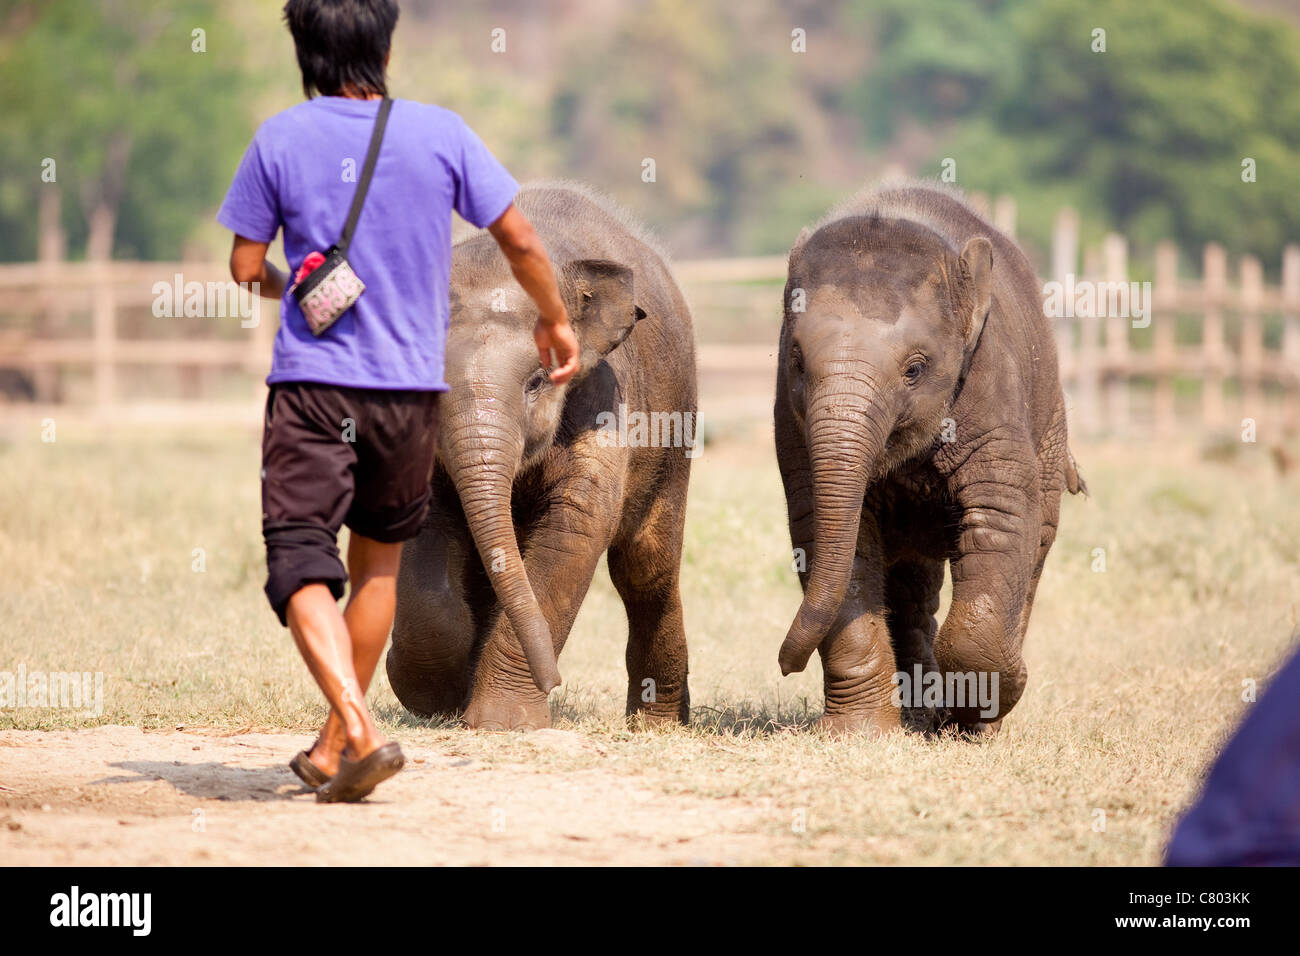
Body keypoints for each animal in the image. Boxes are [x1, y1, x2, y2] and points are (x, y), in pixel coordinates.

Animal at [387, 182, 697, 731]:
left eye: (536, 380)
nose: (556, 679)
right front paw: (436, 697)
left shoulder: (605, 397)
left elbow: (574, 527)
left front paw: (501, 722)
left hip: (674, 430)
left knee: (645, 568)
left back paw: (657, 725)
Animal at [773, 181, 1085, 735]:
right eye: (796, 360)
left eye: (915, 369)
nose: (785, 665)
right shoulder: (790, 422)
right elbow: (828, 532)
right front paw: (860, 734)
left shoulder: (989, 384)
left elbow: (1001, 516)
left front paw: (986, 709)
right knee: (912, 582)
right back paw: (922, 712)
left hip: (1049, 427)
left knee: (1037, 542)